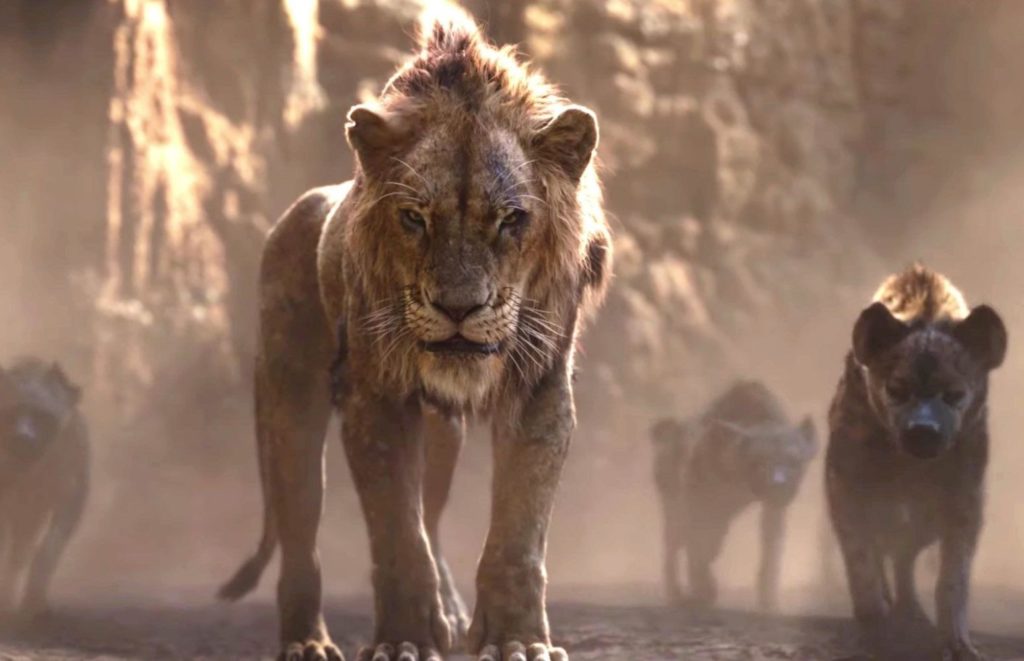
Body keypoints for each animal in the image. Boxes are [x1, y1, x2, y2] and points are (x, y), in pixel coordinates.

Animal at [219, 5, 611, 661]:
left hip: (442, 435)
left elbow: (517, 532)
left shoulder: (540, 389)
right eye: (414, 218)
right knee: (302, 533)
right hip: (289, 402)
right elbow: (397, 534)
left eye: (511, 219)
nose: (458, 308)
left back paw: (449, 611)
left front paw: (515, 640)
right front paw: (403, 640)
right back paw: (306, 641)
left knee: (431, 513)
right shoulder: (374, 397)